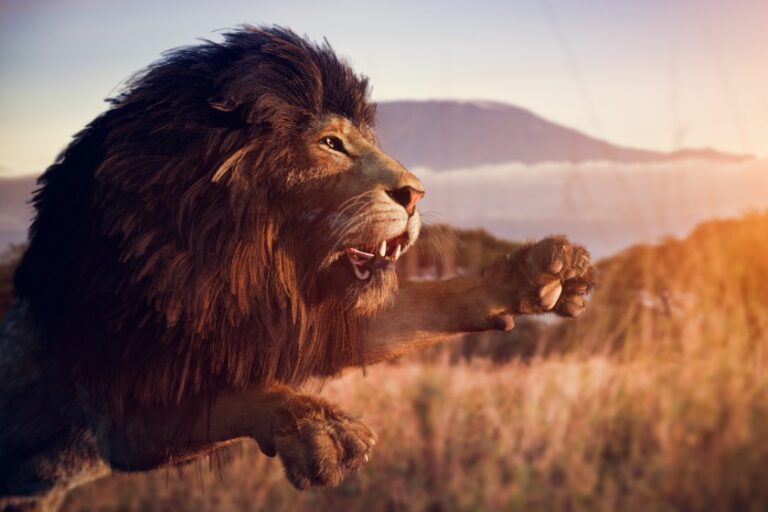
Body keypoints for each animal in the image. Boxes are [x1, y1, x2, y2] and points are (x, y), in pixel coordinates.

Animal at [0, 26, 595, 511]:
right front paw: (316, 426)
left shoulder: (303, 320)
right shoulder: (120, 406)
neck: (241, 258)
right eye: (331, 144)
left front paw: (537, 274)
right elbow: (236, 395)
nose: (416, 194)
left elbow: (429, 303)